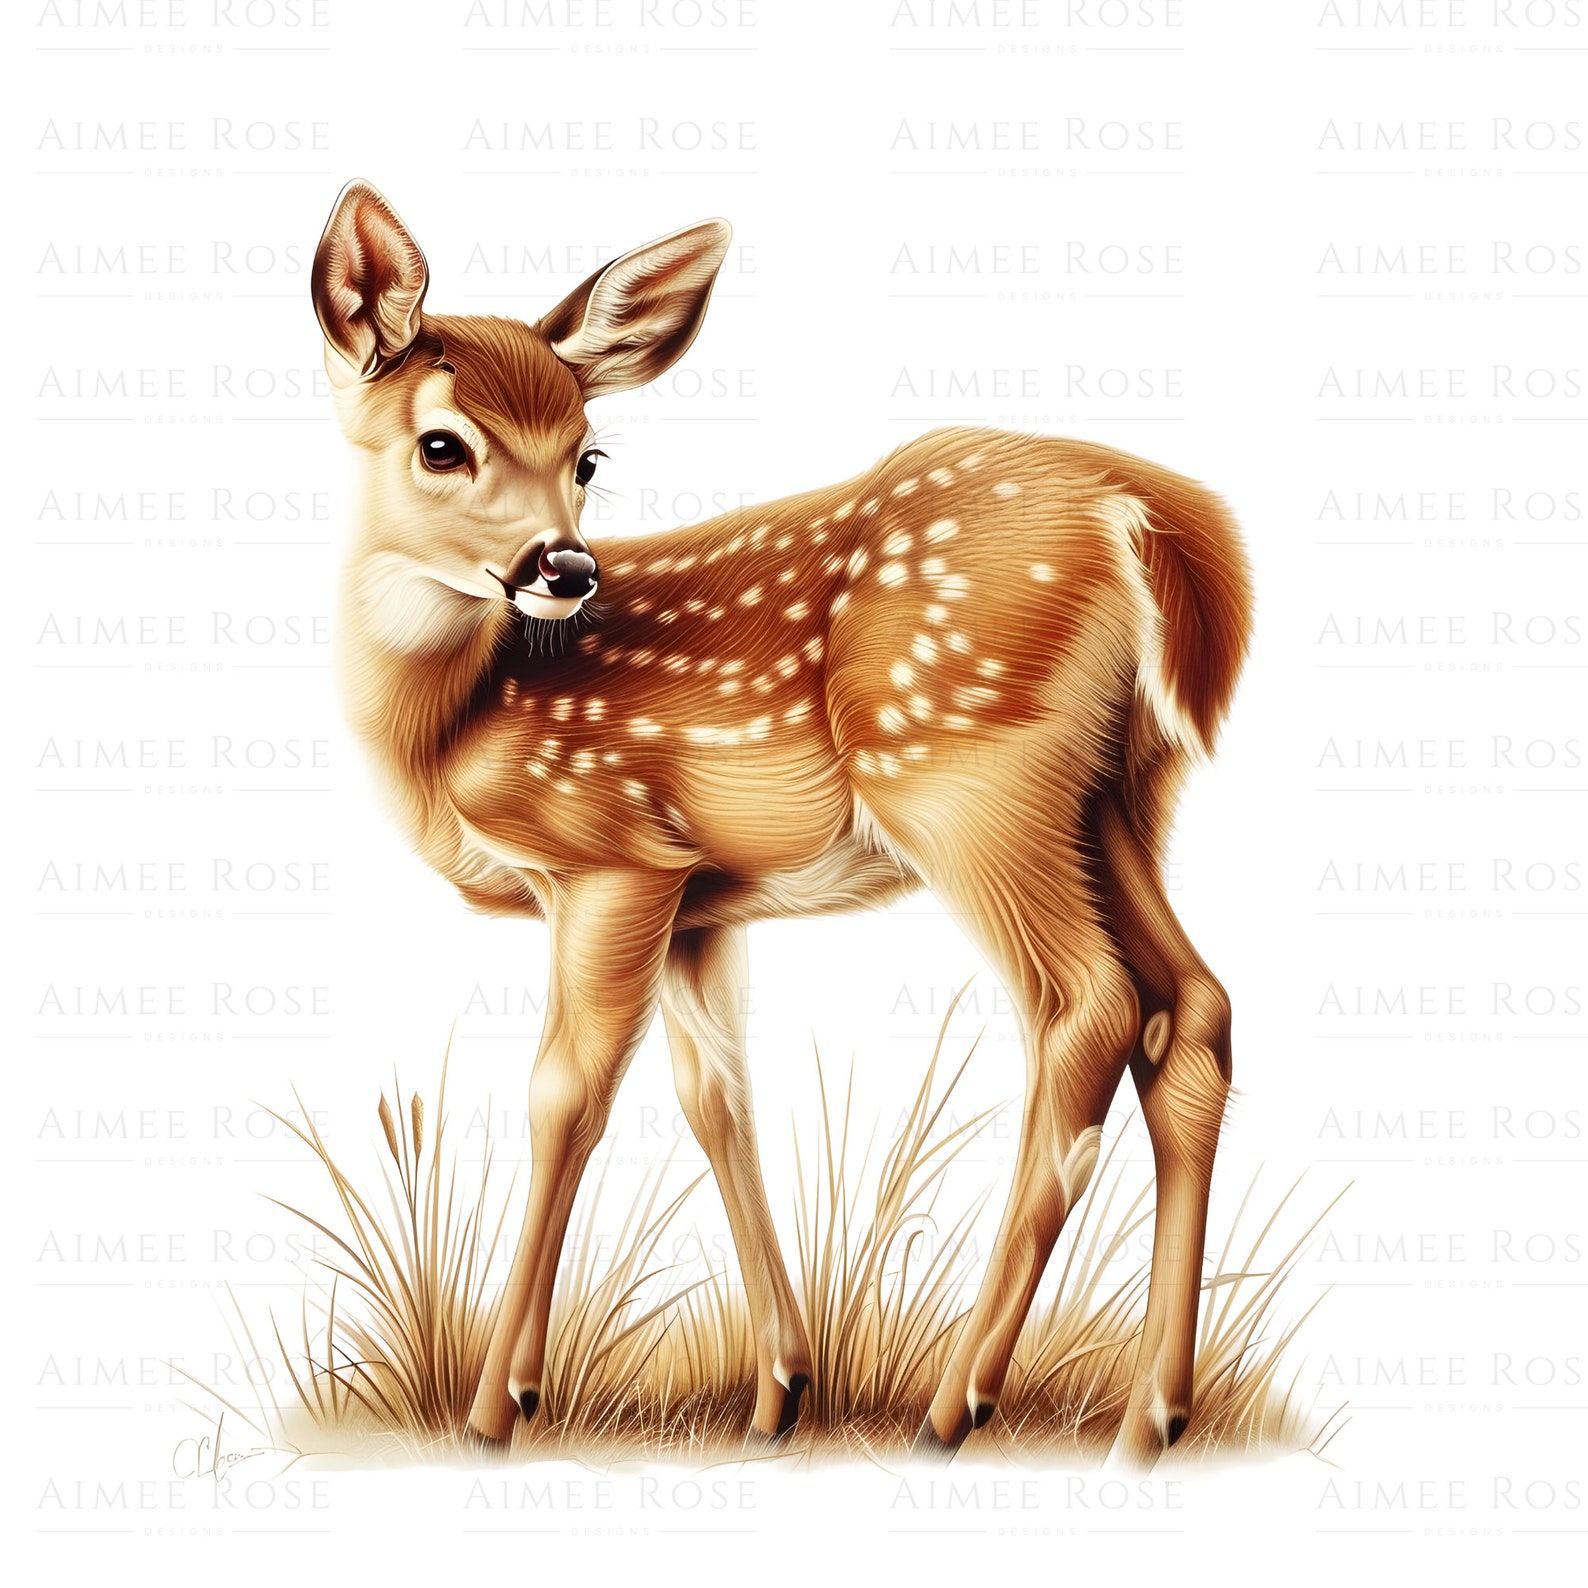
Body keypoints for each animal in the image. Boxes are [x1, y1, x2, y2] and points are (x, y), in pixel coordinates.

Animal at [310, 180, 1253, 1466]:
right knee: (1191, 1009)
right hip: (1121, 790)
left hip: (964, 768)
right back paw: (1152, 1413)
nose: (565, 569)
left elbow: (565, 1095)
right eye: (442, 441)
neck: (453, 721)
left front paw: (499, 1404)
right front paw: (780, 1391)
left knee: (1088, 1009)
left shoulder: (612, 857)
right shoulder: (701, 897)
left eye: (587, 453)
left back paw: (958, 1404)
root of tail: (1151, 524)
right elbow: (720, 1101)